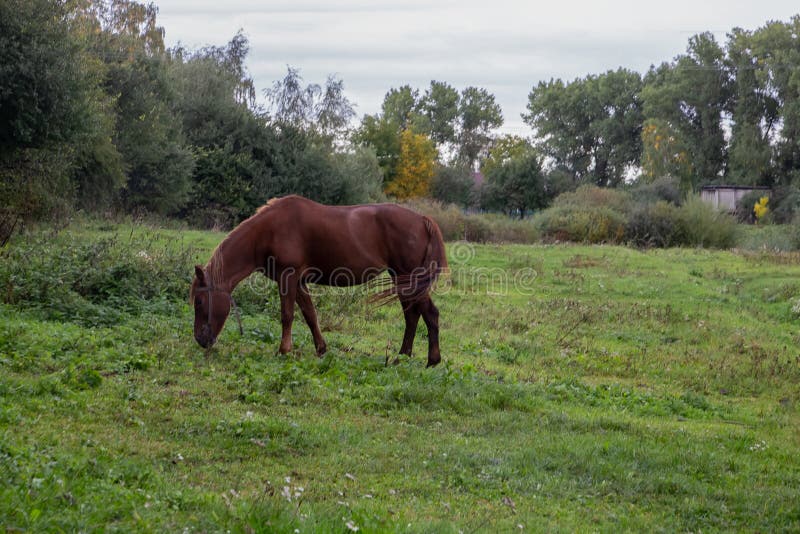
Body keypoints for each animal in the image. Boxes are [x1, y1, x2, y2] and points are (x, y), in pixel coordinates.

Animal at [190, 195, 448, 367]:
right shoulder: (299, 282)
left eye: (199, 302)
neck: (268, 231)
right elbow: (310, 315)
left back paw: (432, 360)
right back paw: (402, 357)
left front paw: (283, 351)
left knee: (429, 314)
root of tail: (422, 220)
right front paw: (321, 350)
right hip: (403, 280)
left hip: (408, 278)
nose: (201, 340)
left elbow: (287, 316)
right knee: (412, 315)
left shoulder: (288, 277)